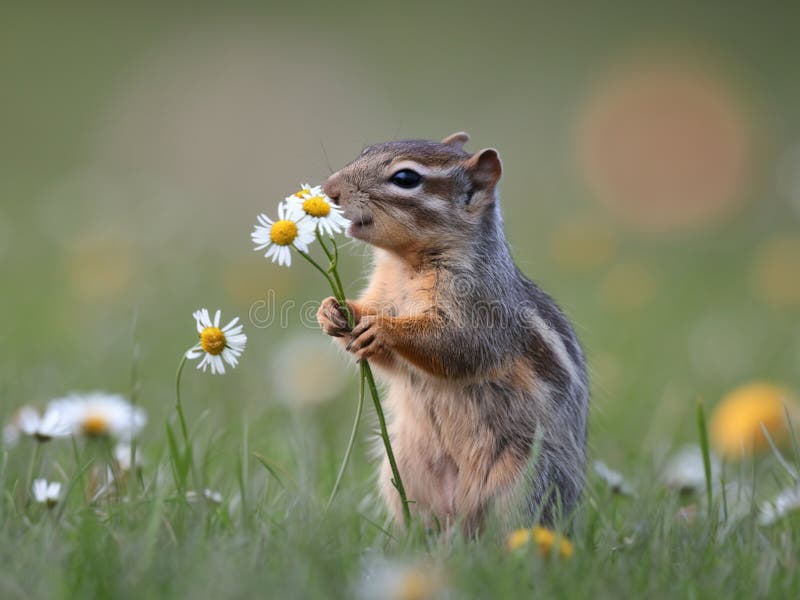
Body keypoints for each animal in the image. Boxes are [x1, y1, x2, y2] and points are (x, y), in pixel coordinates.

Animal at [316, 132, 588, 534]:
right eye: (365, 151)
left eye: (406, 178)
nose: (329, 190)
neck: (406, 264)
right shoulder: (382, 293)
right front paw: (332, 311)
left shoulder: (480, 308)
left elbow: (458, 347)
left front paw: (385, 329)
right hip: (404, 470)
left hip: (524, 479)